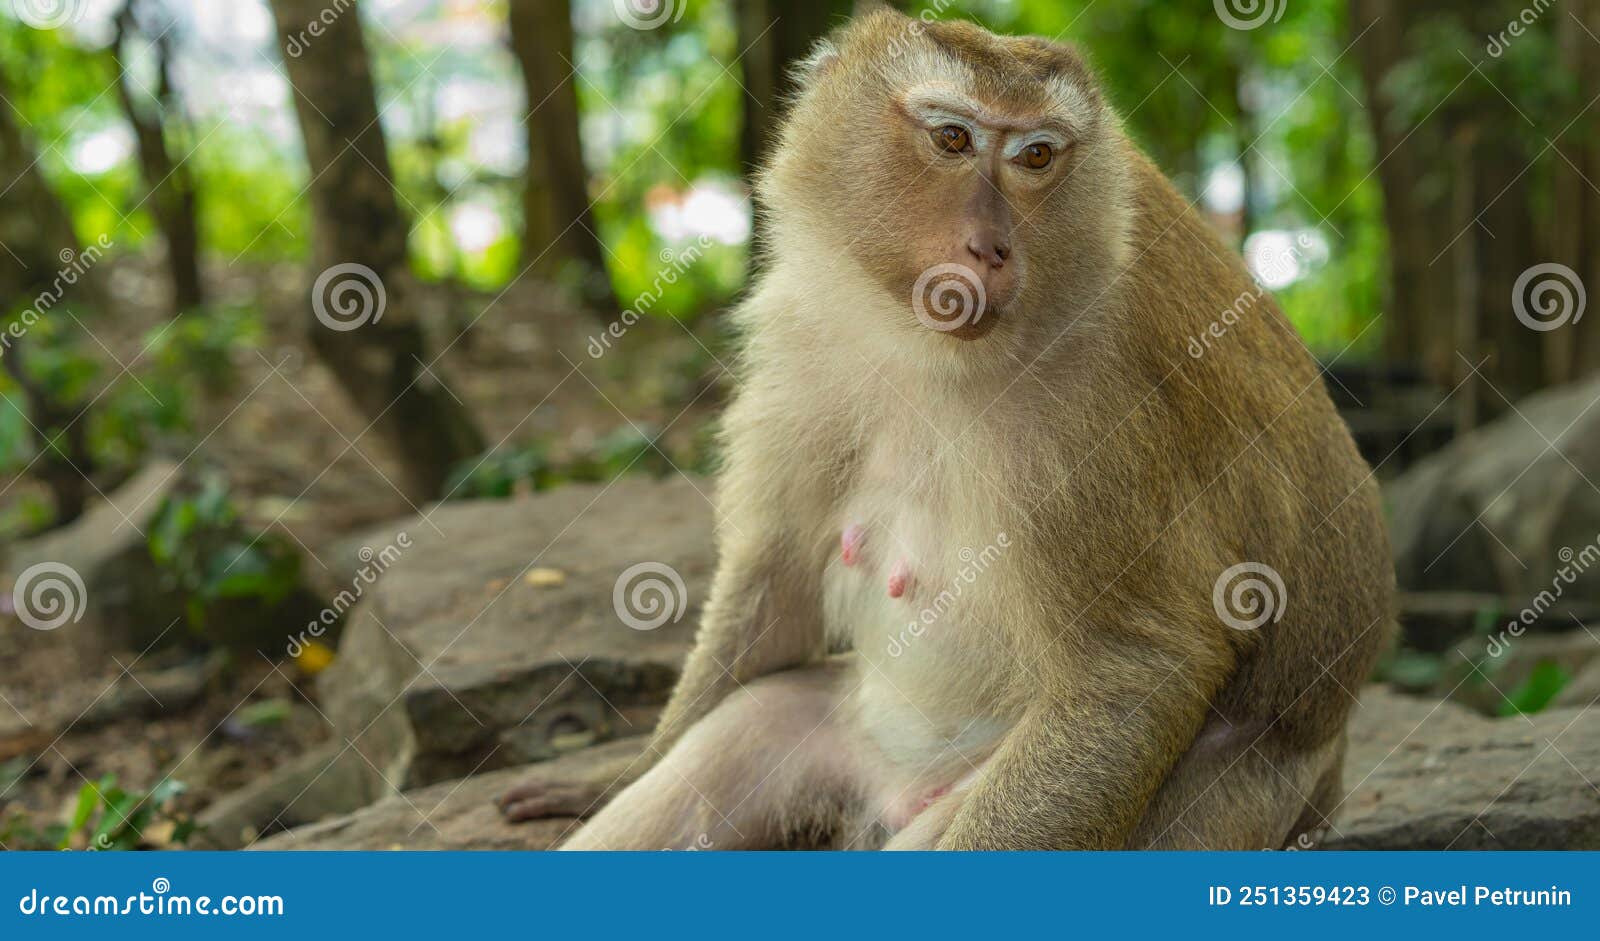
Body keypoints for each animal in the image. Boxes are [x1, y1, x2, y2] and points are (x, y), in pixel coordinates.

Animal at [497, 8, 1394, 850]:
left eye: (1037, 156)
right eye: (954, 138)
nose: (991, 246)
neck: (926, 350)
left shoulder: (1091, 410)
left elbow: (1137, 672)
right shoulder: (801, 327)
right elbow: (777, 572)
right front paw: (607, 775)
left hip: (1212, 803)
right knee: (752, 723)